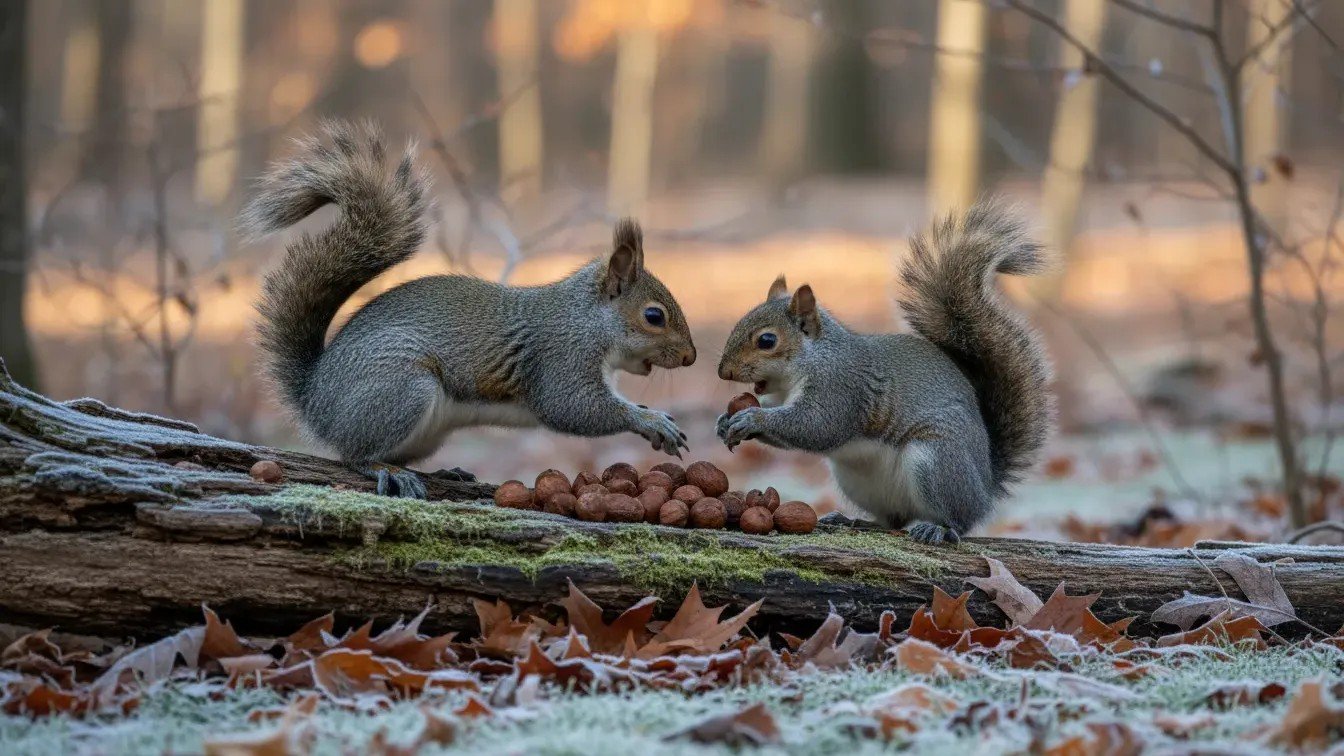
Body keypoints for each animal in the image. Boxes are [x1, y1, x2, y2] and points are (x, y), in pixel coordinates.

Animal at [243, 121, 696, 498]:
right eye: (654, 317)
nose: (691, 357)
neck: (586, 319)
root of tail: (315, 398)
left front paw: (653, 418)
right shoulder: (561, 358)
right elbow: (574, 407)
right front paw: (649, 421)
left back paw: (439, 473)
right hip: (400, 390)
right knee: (355, 454)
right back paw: (385, 470)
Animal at [714, 201, 1054, 544]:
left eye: (767, 340)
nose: (723, 372)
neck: (811, 361)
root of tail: (985, 487)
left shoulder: (840, 387)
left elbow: (816, 426)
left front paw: (753, 419)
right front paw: (726, 420)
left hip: (937, 463)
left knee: (959, 519)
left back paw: (940, 528)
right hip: (859, 481)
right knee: (892, 519)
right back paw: (853, 521)